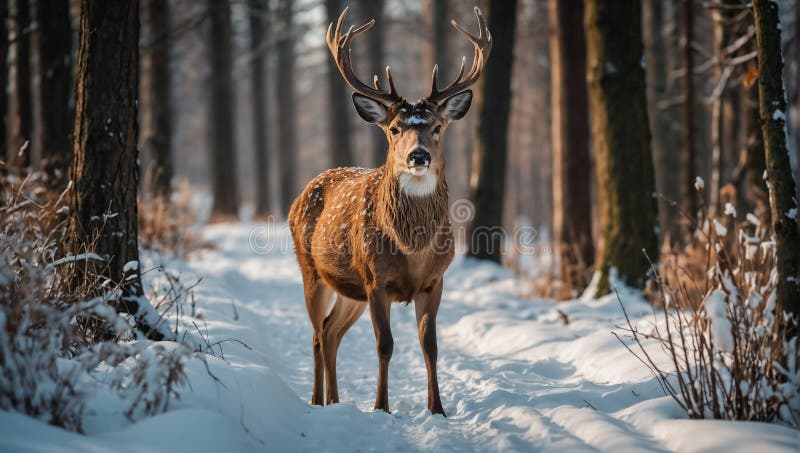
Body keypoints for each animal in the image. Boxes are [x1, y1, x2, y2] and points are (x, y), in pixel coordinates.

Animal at [288, 7, 491, 416]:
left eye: (437, 126)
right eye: (395, 128)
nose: (419, 155)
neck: (413, 249)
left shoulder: (434, 280)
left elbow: (430, 346)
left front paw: (437, 409)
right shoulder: (375, 279)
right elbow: (385, 344)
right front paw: (381, 406)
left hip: (348, 289)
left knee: (331, 331)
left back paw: (336, 400)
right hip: (312, 270)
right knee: (316, 334)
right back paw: (318, 401)